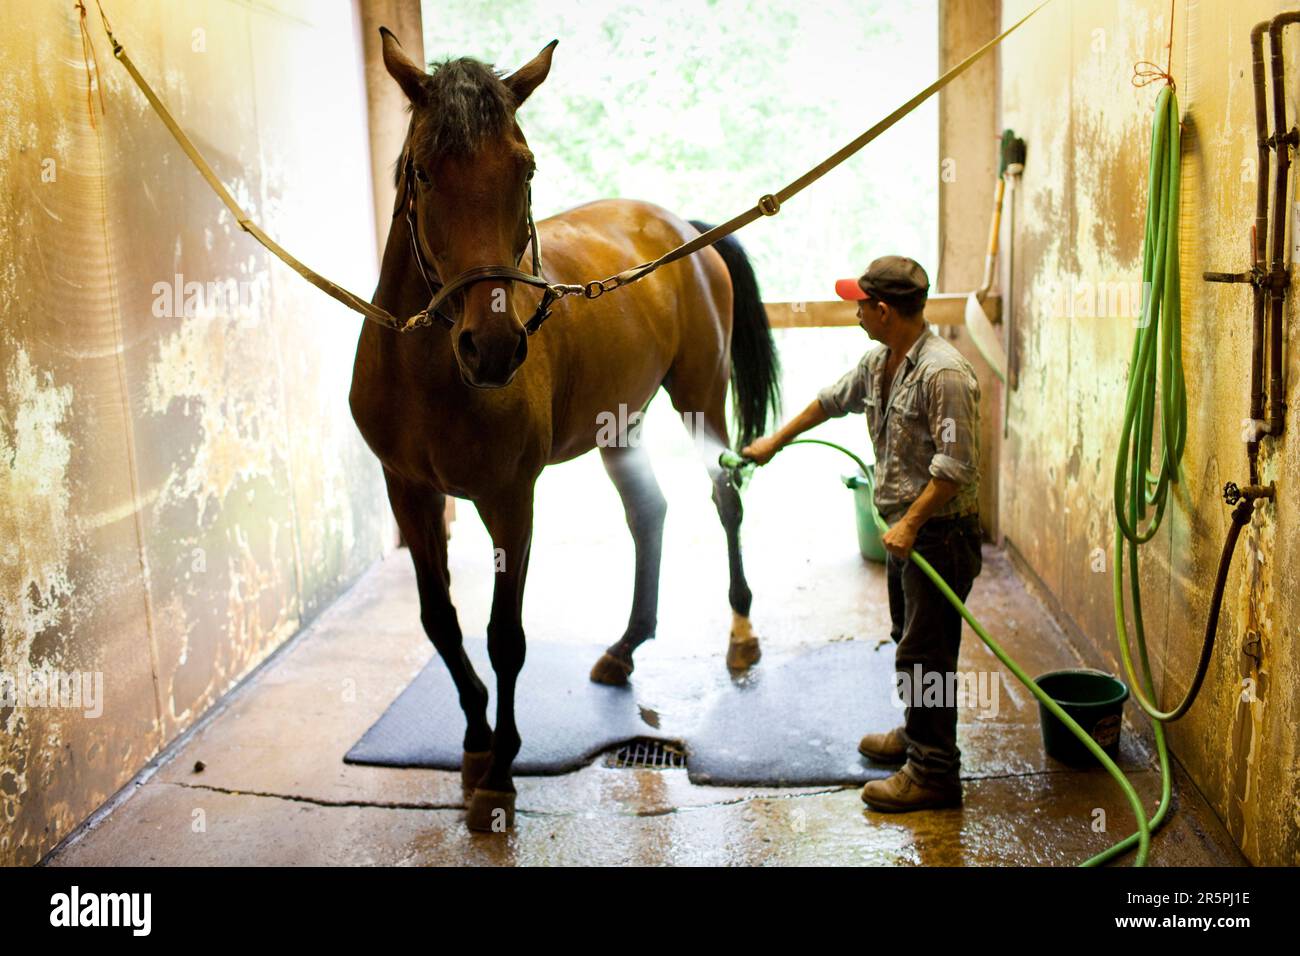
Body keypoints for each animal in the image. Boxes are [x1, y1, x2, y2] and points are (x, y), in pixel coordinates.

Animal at [349, 30, 780, 832]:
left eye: (525, 166)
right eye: (422, 168)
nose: (493, 348)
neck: (431, 373)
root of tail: (682, 228)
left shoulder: (510, 500)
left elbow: (504, 638)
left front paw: (502, 769)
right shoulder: (411, 493)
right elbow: (441, 622)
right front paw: (475, 742)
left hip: (700, 400)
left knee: (725, 499)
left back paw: (740, 634)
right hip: (620, 424)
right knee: (650, 513)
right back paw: (625, 648)